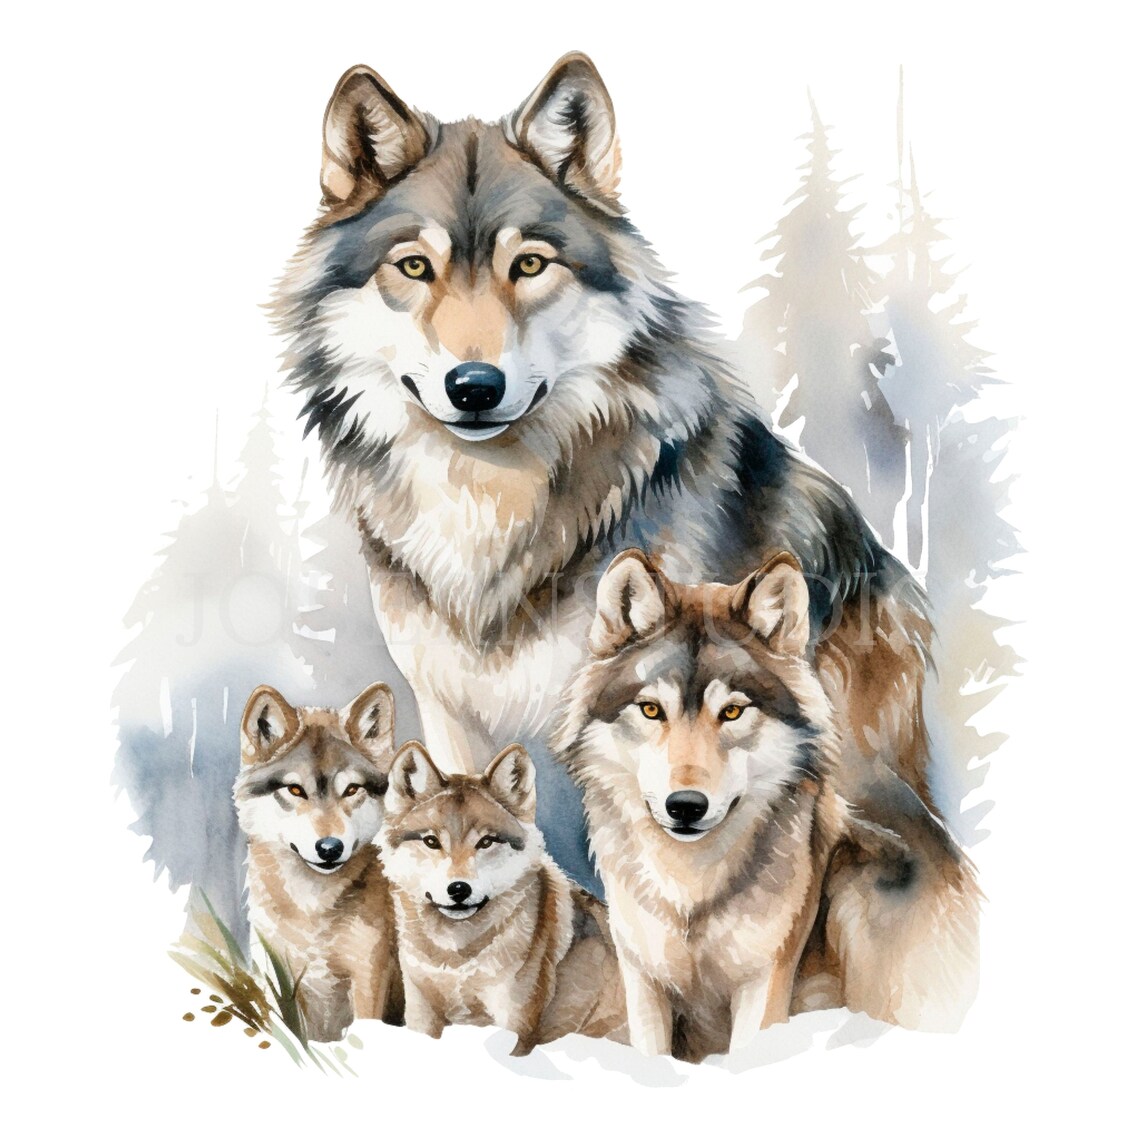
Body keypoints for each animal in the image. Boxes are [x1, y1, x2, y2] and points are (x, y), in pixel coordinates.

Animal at [234, 682, 404, 1041]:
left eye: (351, 789)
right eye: (296, 790)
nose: (330, 848)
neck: (311, 907)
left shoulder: (369, 979)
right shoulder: (281, 984)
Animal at [380, 740, 626, 1056]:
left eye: (486, 842)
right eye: (431, 842)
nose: (458, 889)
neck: (456, 956)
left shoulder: (515, 1026)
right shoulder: (421, 1014)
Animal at [552, 549, 979, 1058]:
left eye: (733, 711)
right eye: (651, 710)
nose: (686, 806)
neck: (692, 891)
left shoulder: (765, 981)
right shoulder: (644, 980)